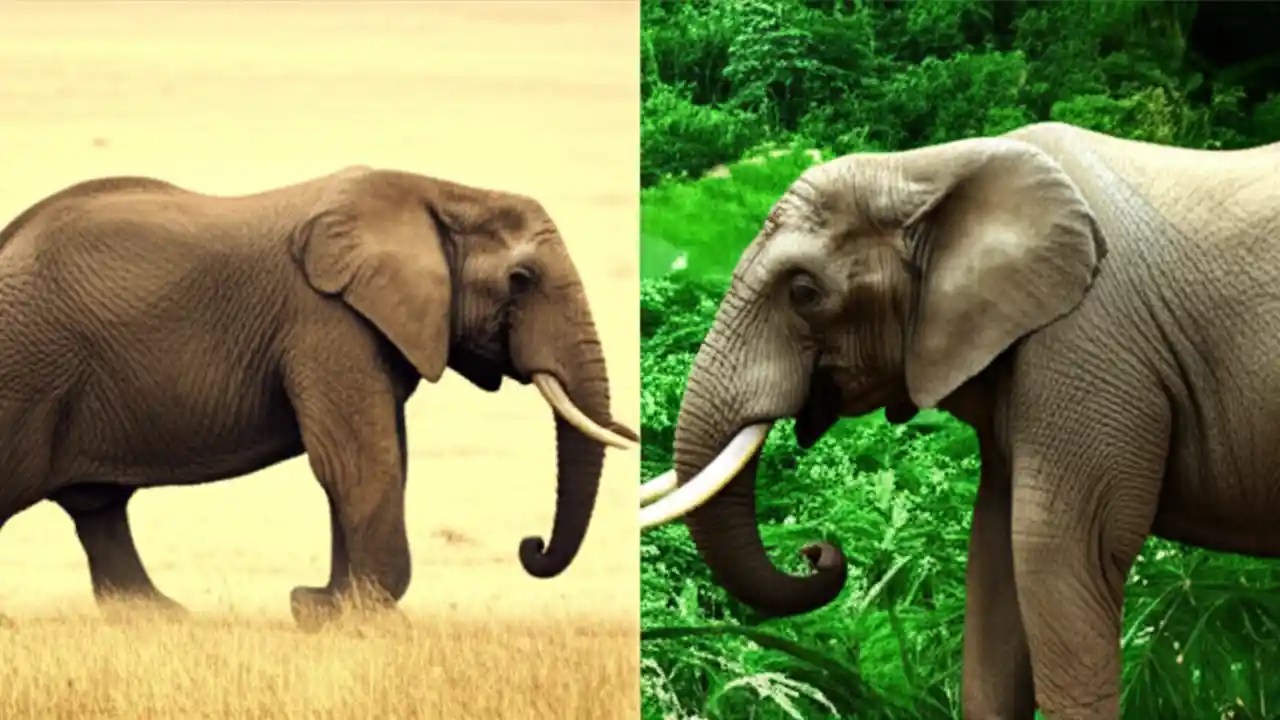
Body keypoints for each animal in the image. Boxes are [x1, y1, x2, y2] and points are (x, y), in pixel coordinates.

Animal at [0, 166, 637, 629]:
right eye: (521, 280)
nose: (531, 546)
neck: (442, 191)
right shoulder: (325, 321)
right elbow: (356, 460)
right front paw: (354, 616)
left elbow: (376, 457)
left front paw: (322, 608)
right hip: (27, 371)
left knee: (99, 508)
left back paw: (161, 617)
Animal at [639, 121, 1280, 718]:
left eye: (803, 292)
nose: (815, 551)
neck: (925, 169)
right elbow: (994, 554)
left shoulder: (1089, 343)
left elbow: (1058, 553)